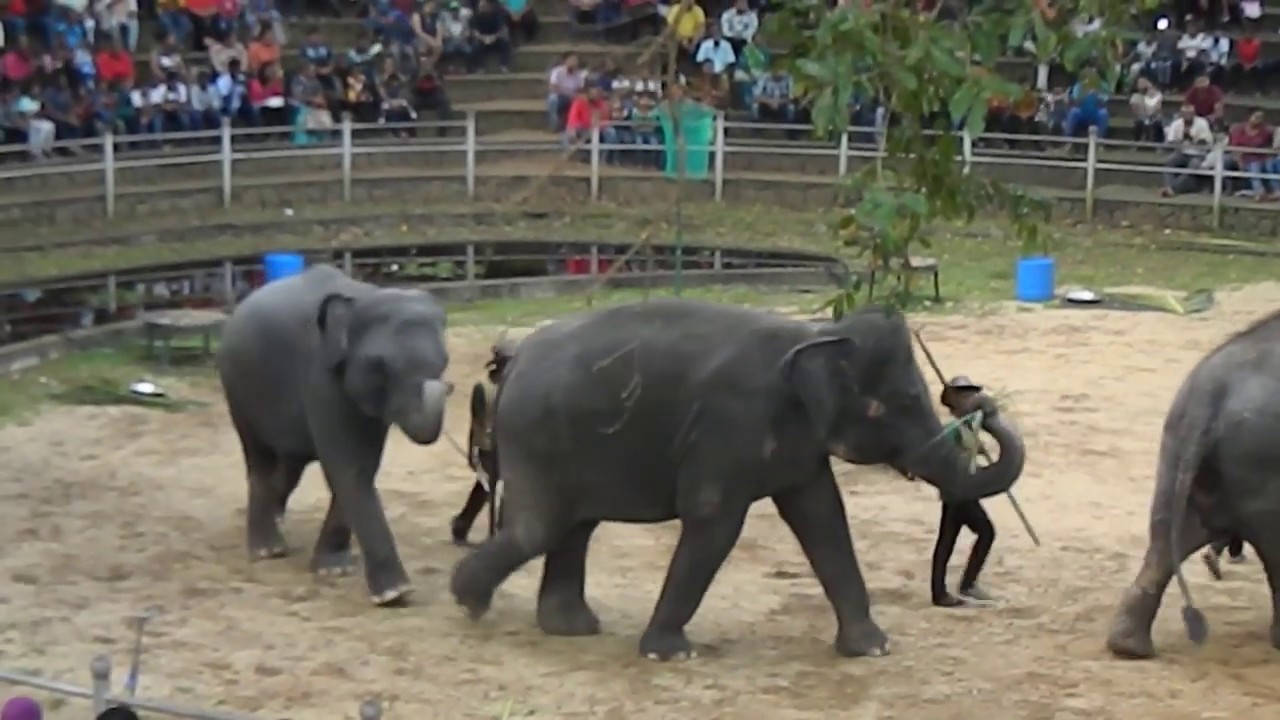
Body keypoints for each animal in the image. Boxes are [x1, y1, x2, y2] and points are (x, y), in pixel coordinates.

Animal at [216, 264, 451, 606]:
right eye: (379, 366)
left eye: (444, 362)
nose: (449, 387)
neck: (363, 296)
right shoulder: (319, 374)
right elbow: (347, 467)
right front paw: (394, 594)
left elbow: (363, 466)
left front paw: (334, 570)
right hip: (237, 390)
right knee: (259, 460)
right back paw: (268, 550)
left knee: (289, 465)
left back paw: (277, 522)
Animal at [450, 299, 1027, 660]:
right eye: (899, 404)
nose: (980, 403)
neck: (816, 335)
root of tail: (513, 360)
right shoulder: (731, 423)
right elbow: (715, 522)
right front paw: (669, 655)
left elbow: (823, 517)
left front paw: (873, 649)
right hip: (535, 437)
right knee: (540, 527)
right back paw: (470, 604)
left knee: (574, 527)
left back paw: (569, 628)